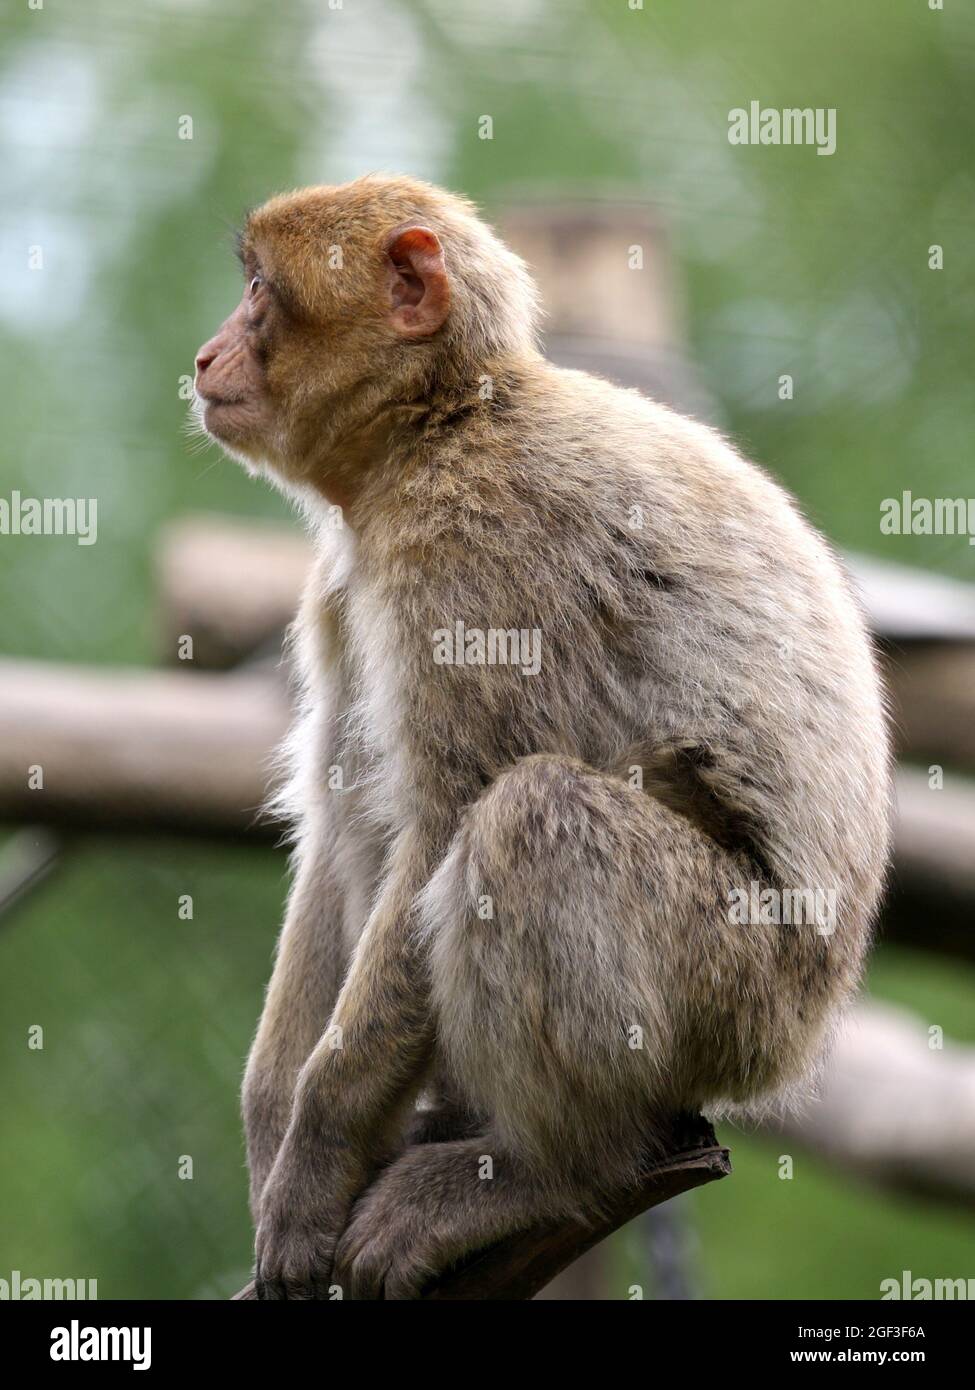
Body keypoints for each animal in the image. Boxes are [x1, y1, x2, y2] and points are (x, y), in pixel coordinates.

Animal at [192, 174, 891, 1300]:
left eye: (259, 291)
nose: (210, 353)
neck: (440, 425)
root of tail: (812, 1019)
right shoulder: (347, 583)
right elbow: (346, 824)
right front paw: (272, 1140)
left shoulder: (472, 552)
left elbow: (442, 825)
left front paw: (315, 1153)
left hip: (740, 988)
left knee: (533, 813)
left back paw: (543, 1172)